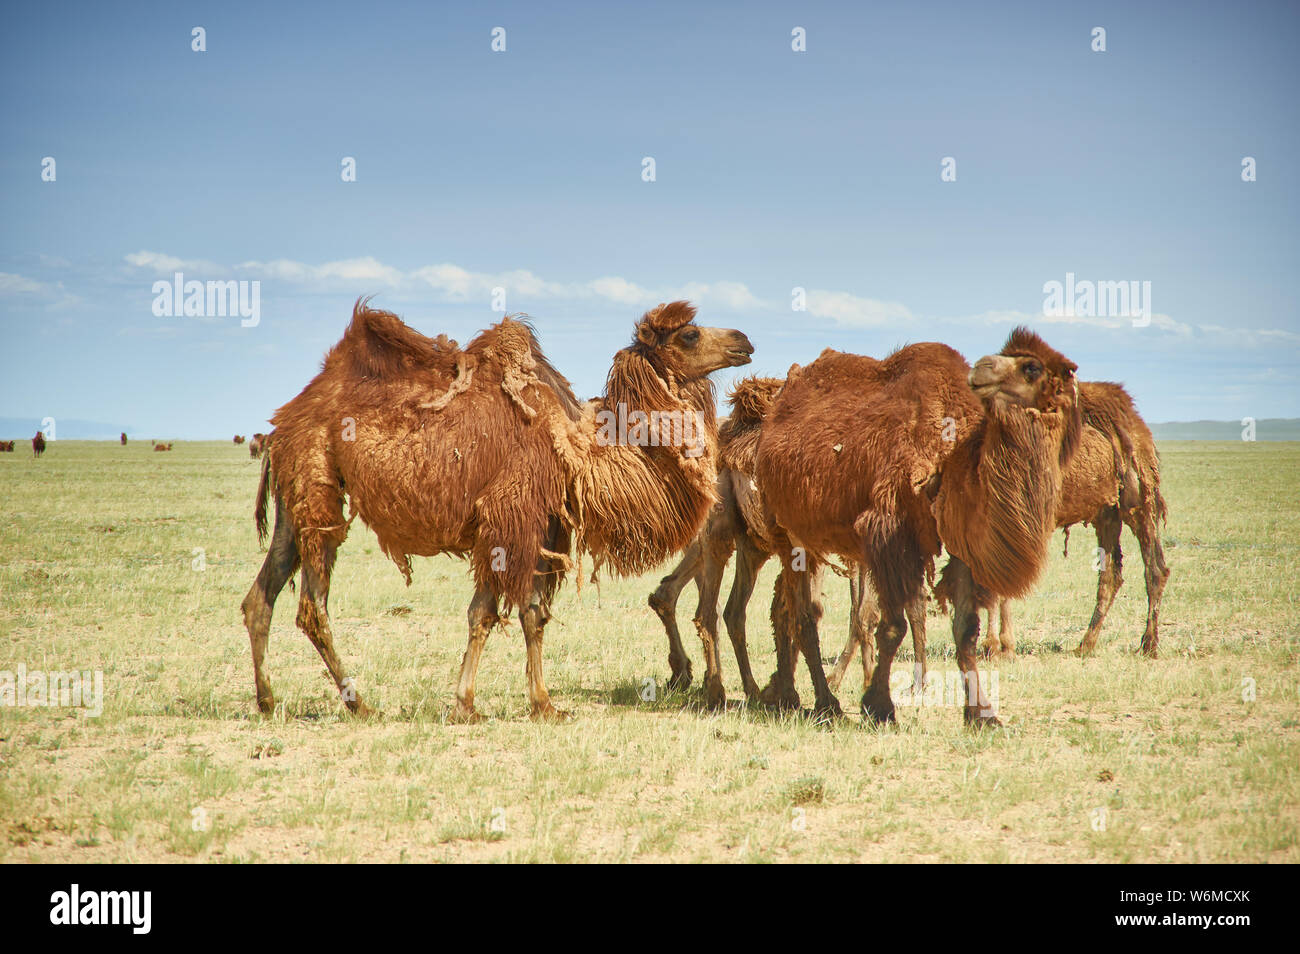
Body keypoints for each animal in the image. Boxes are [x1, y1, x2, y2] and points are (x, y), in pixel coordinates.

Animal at [240, 298, 751, 721]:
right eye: (689, 335)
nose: (744, 342)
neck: (583, 454)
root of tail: (283, 423)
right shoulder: (512, 517)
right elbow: (510, 613)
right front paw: (525, 704)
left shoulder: (529, 527)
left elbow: (504, 614)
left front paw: (488, 704)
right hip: (317, 489)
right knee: (312, 605)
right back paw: (359, 704)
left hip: (294, 500)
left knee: (260, 597)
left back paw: (267, 701)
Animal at [649, 377, 927, 708]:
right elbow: (811, 615)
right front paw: (824, 698)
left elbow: (805, 612)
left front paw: (787, 690)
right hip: (722, 528)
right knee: (707, 607)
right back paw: (715, 689)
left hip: (753, 543)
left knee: (730, 609)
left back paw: (747, 688)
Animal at [754, 328, 1082, 726]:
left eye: (1031, 367)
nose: (982, 367)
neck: (950, 454)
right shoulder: (887, 532)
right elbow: (892, 627)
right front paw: (879, 706)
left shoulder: (959, 541)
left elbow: (964, 630)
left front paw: (981, 713)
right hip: (790, 534)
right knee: (804, 616)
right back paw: (823, 702)